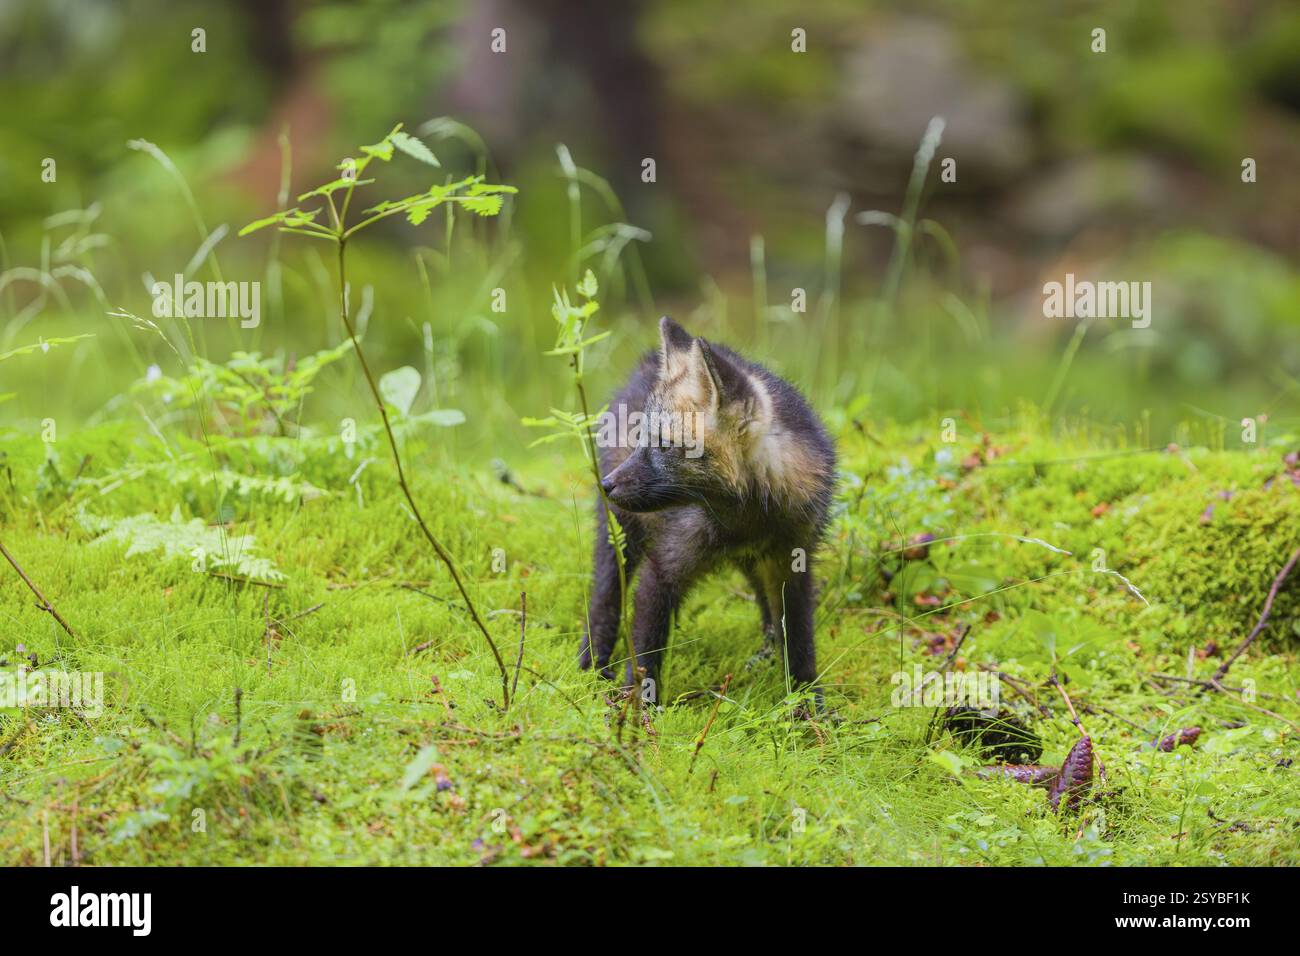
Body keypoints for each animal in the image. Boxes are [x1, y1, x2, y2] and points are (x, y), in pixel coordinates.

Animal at [578, 316, 836, 701]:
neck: (748, 519)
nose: (606, 484)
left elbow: (800, 645)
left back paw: (764, 656)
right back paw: (590, 668)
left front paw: (808, 707)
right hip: (620, 539)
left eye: (664, 445)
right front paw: (641, 710)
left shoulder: (791, 564)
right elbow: (645, 657)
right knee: (603, 603)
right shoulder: (663, 568)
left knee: (765, 609)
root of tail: (646, 362)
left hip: (752, 562)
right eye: (641, 440)